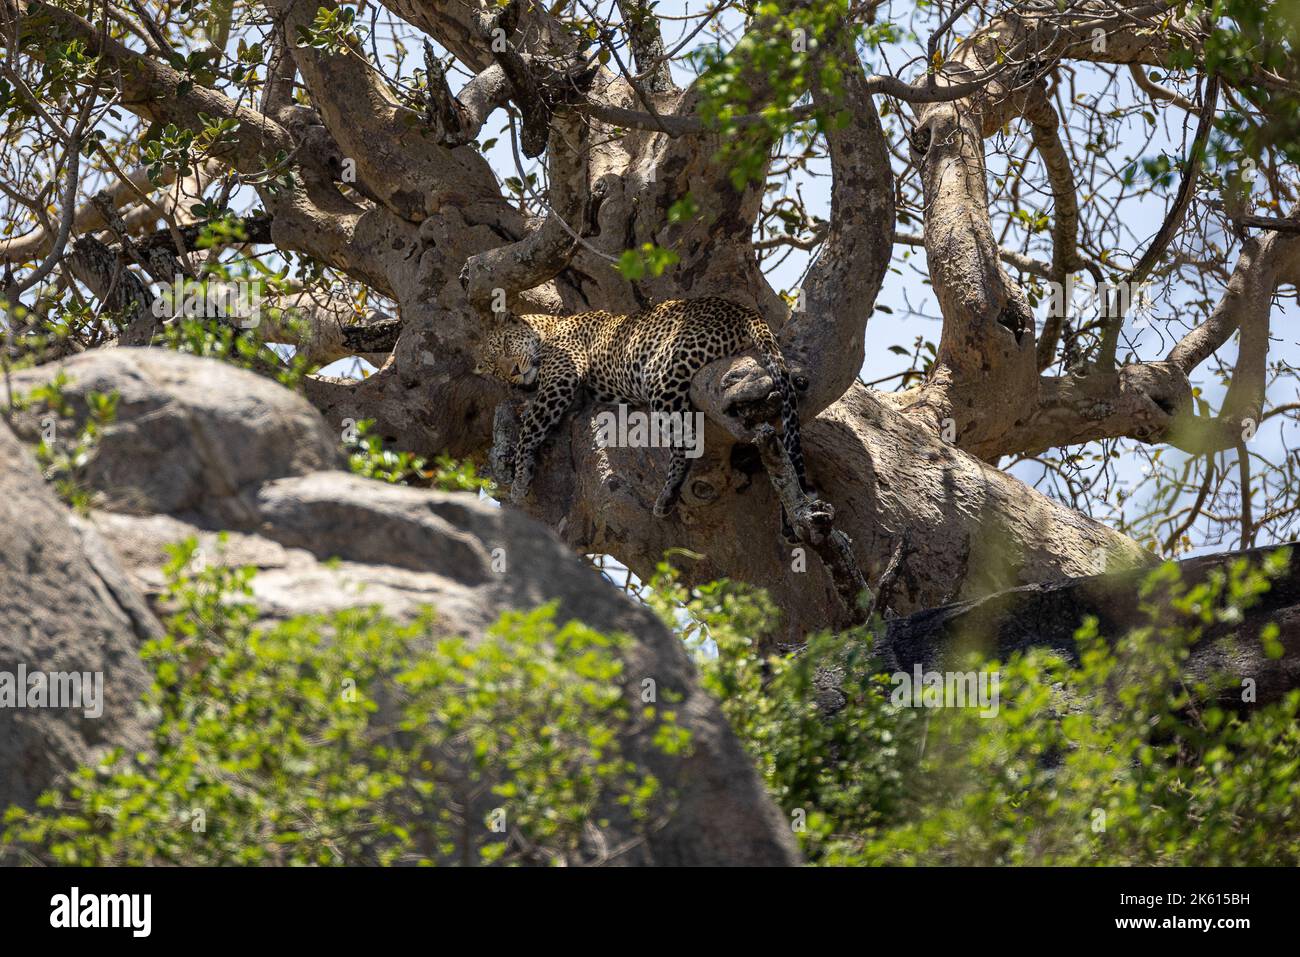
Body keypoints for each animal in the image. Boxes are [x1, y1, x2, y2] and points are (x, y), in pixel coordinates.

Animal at [473, 296, 808, 532]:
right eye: (494, 368)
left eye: (506, 346)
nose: (513, 373)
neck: (548, 329)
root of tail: (741, 308)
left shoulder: (562, 378)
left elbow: (530, 427)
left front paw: (519, 477)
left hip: (663, 371)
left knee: (686, 439)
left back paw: (668, 495)